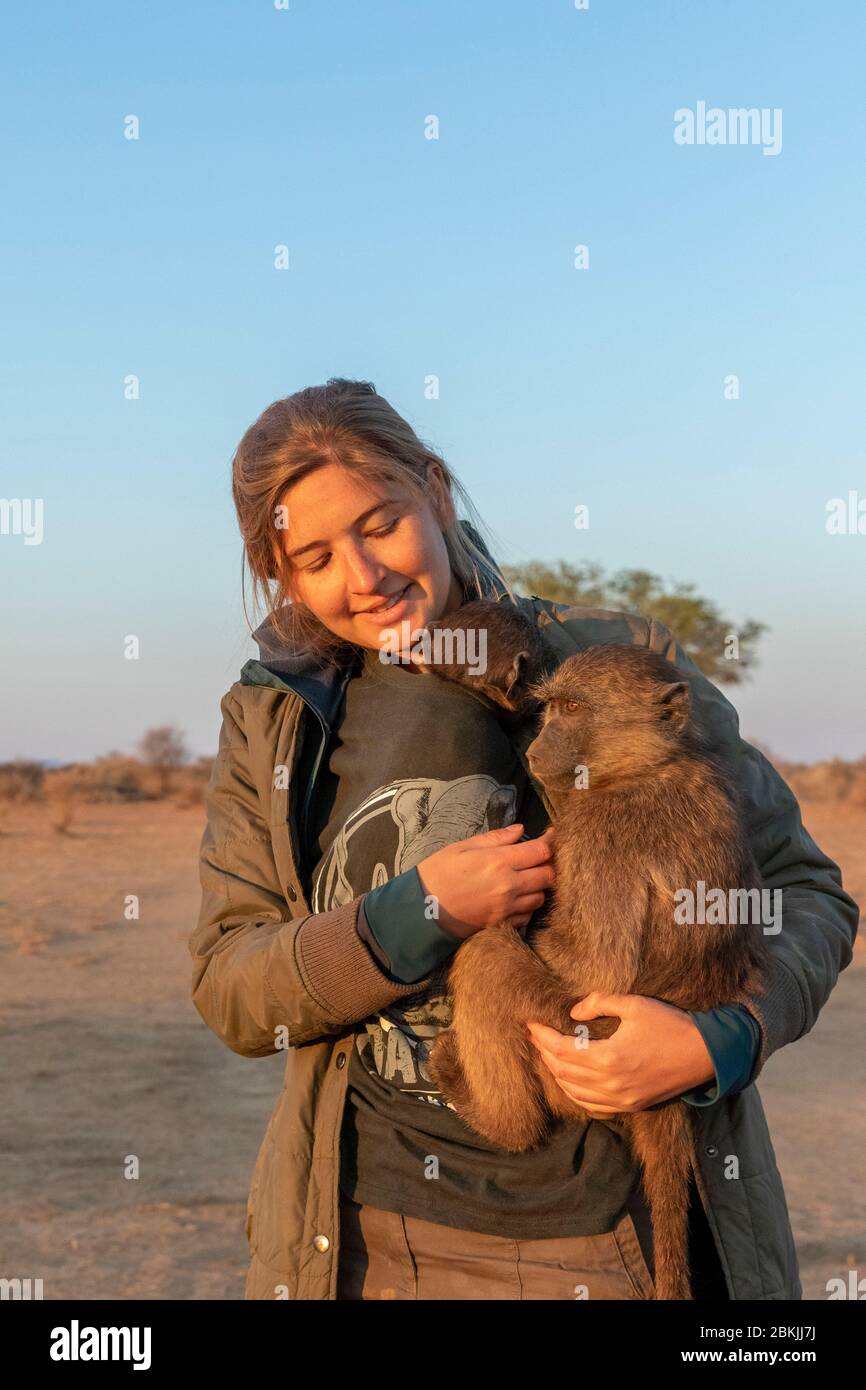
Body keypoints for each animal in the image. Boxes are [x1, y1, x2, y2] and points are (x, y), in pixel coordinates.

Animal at [420, 613, 771, 1300]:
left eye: (575, 709)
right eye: (552, 707)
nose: (535, 751)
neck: (646, 766)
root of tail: (663, 1104)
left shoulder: (596, 833)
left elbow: (593, 963)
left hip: (569, 1044)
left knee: (487, 958)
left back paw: (489, 1111)